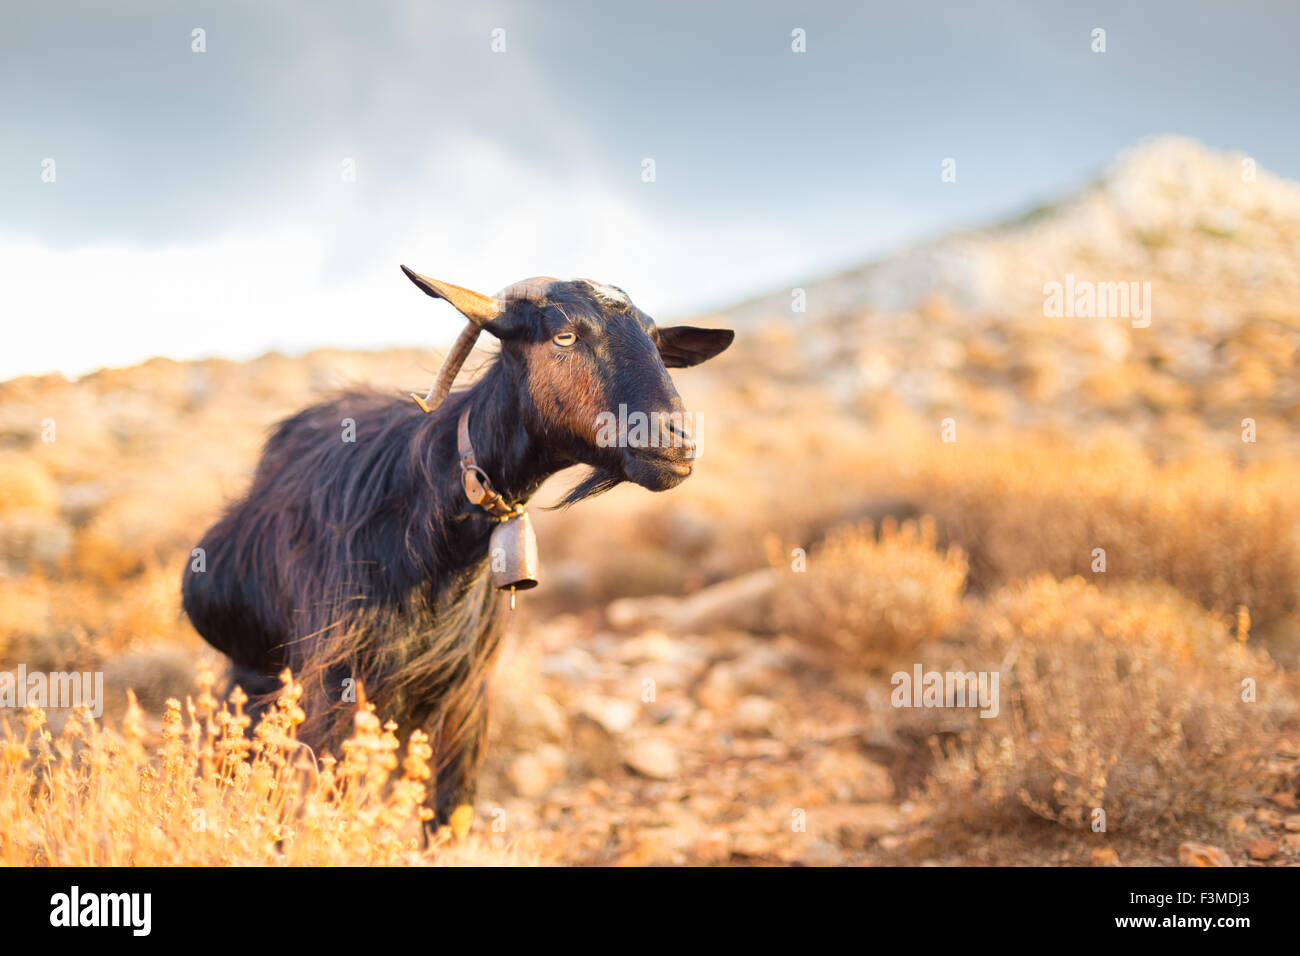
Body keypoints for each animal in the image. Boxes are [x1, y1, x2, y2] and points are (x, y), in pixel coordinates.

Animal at [181, 267, 733, 832]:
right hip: (253, 678)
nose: (677, 439)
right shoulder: (331, 686)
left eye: (656, 340)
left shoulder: (465, 696)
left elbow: (449, 816)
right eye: (564, 336)